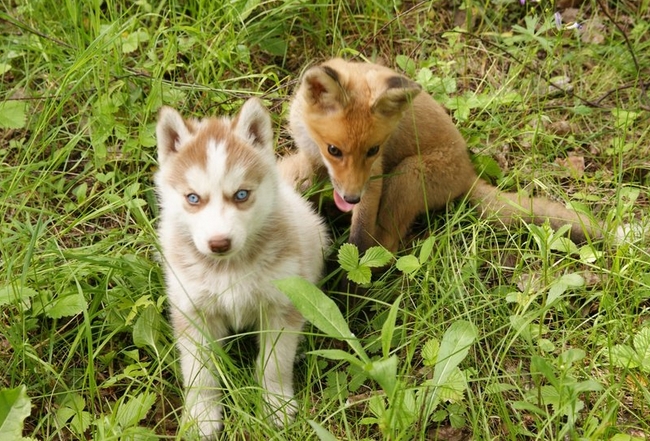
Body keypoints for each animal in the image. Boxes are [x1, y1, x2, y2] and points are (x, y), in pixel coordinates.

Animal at [154, 98, 329, 438]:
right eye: (193, 198)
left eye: (241, 194)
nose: (219, 243)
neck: (228, 270)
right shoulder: (192, 311)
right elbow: (200, 373)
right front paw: (202, 416)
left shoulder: (281, 305)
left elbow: (275, 362)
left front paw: (275, 404)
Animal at [279, 57, 604, 253]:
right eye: (334, 150)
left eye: (373, 150)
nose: (351, 198)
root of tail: (468, 174)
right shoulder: (312, 160)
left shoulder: (374, 176)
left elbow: (359, 240)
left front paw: (350, 284)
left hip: (408, 176)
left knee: (387, 244)